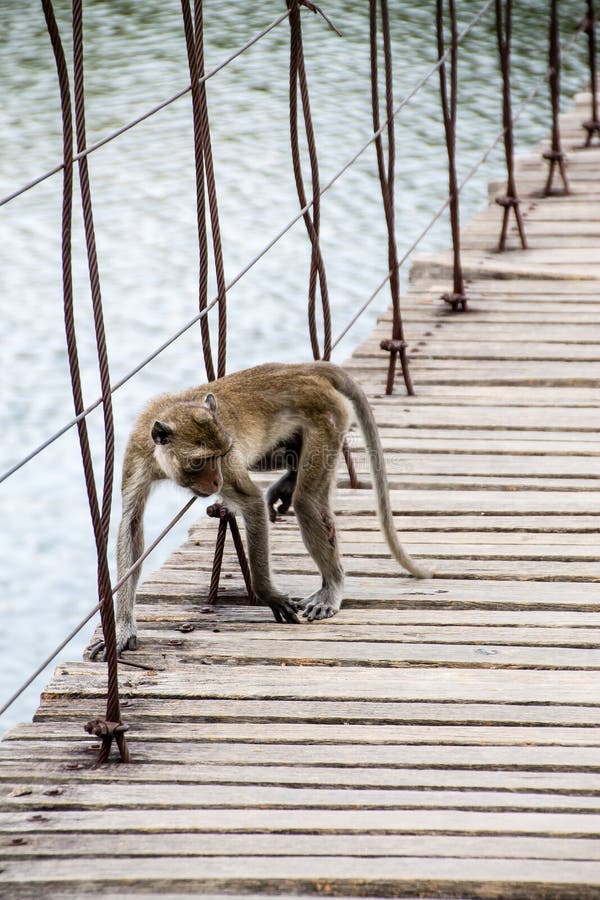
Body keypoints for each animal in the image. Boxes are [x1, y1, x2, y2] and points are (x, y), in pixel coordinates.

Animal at [90, 361, 430, 658]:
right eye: (200, 461)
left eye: (219, 456)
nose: (217, 480)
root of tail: (300, 369)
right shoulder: (138, 452)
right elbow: (132, 524)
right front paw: (122, 629)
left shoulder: (227, 458)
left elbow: (251, 501)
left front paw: (268, 594)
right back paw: (289, 476)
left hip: (328, 416)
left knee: (308, 501)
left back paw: (331, 585)